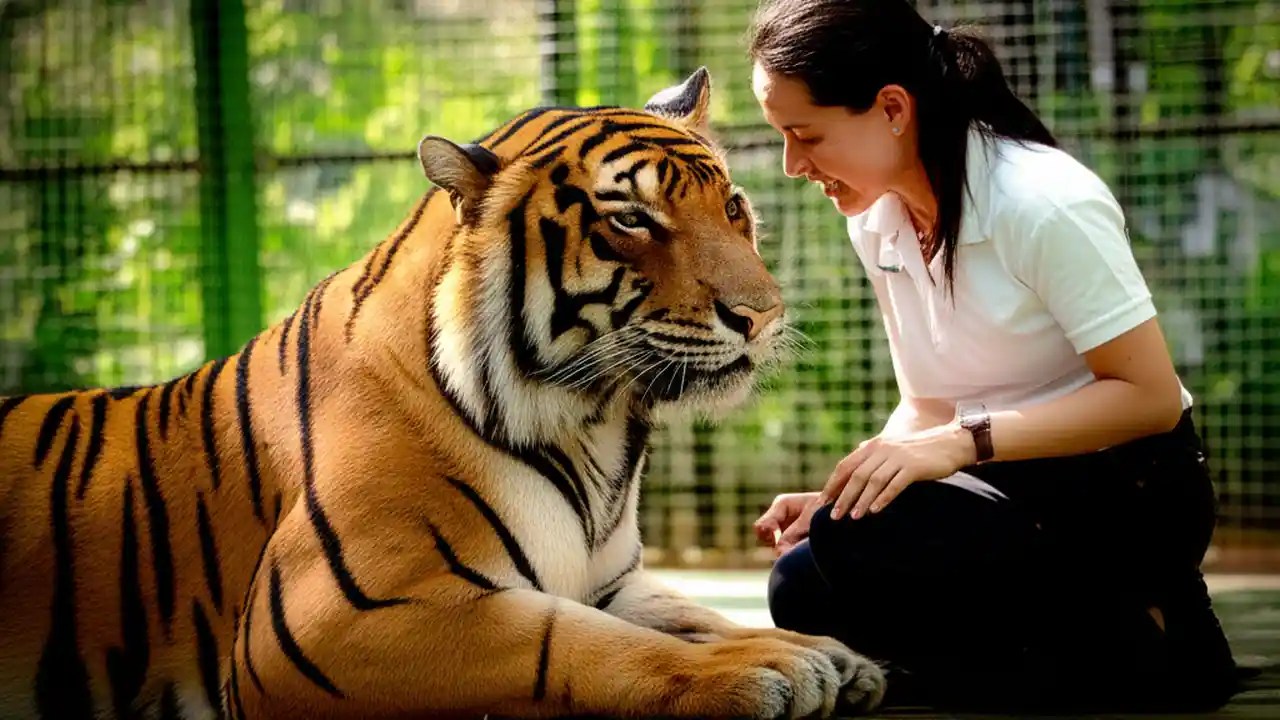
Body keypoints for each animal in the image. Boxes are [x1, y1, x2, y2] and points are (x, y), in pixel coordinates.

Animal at [0, 68, 886, 719]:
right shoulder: (331, 621)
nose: (763, 315)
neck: (597, 427)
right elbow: (579, 641)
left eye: (732, 206)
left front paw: (827, 654)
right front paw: (771, 667)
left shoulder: (613, 581)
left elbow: (694, 614)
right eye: (632, 219)